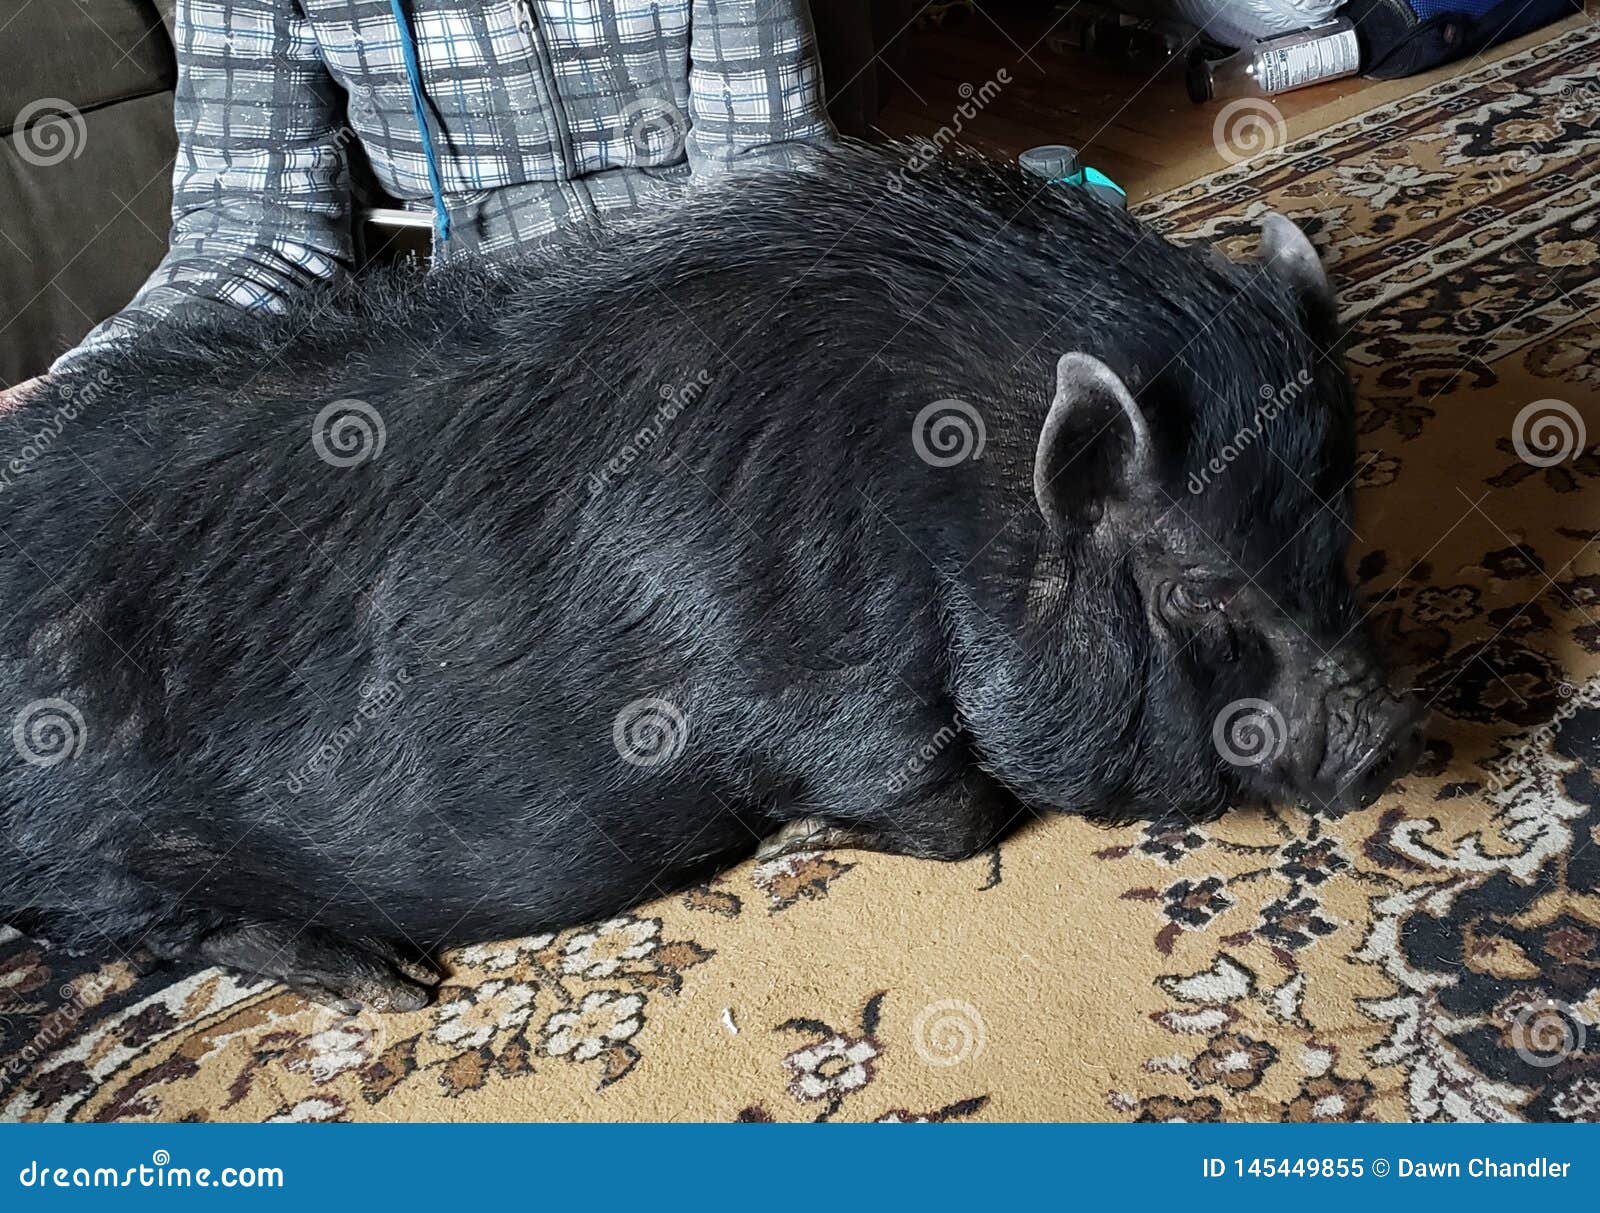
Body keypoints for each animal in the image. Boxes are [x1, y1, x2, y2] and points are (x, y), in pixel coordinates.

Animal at [0, 142, 1422, 1011]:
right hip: (96, 855)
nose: (1389, 740)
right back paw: (392, 983)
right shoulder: (830, 699)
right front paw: (794, 837)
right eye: (1197, 585)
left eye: (1338, 523)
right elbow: (951, 815)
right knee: (119, 926)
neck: (953, 518)